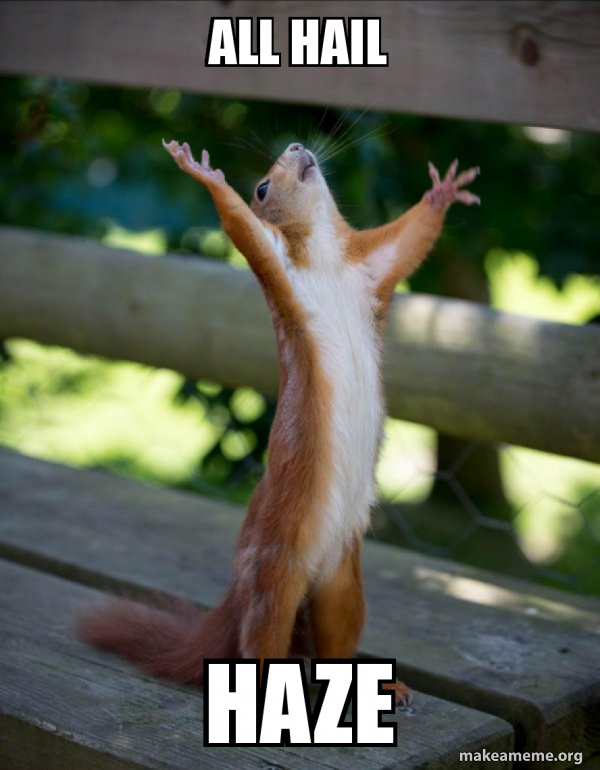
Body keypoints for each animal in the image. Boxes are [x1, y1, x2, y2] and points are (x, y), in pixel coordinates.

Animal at [77, 138, 480, 708]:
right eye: (262, 187)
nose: (296, 146)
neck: (327, 260)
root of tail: (239, 589)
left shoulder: (372, 267)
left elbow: (410, 239)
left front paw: (443, 191)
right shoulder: (277, 265)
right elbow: (240, 226)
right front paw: (203, 173)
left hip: (344, 587)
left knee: (336, 643)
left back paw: (383, 684)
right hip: (274, 577)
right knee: (261, 643)